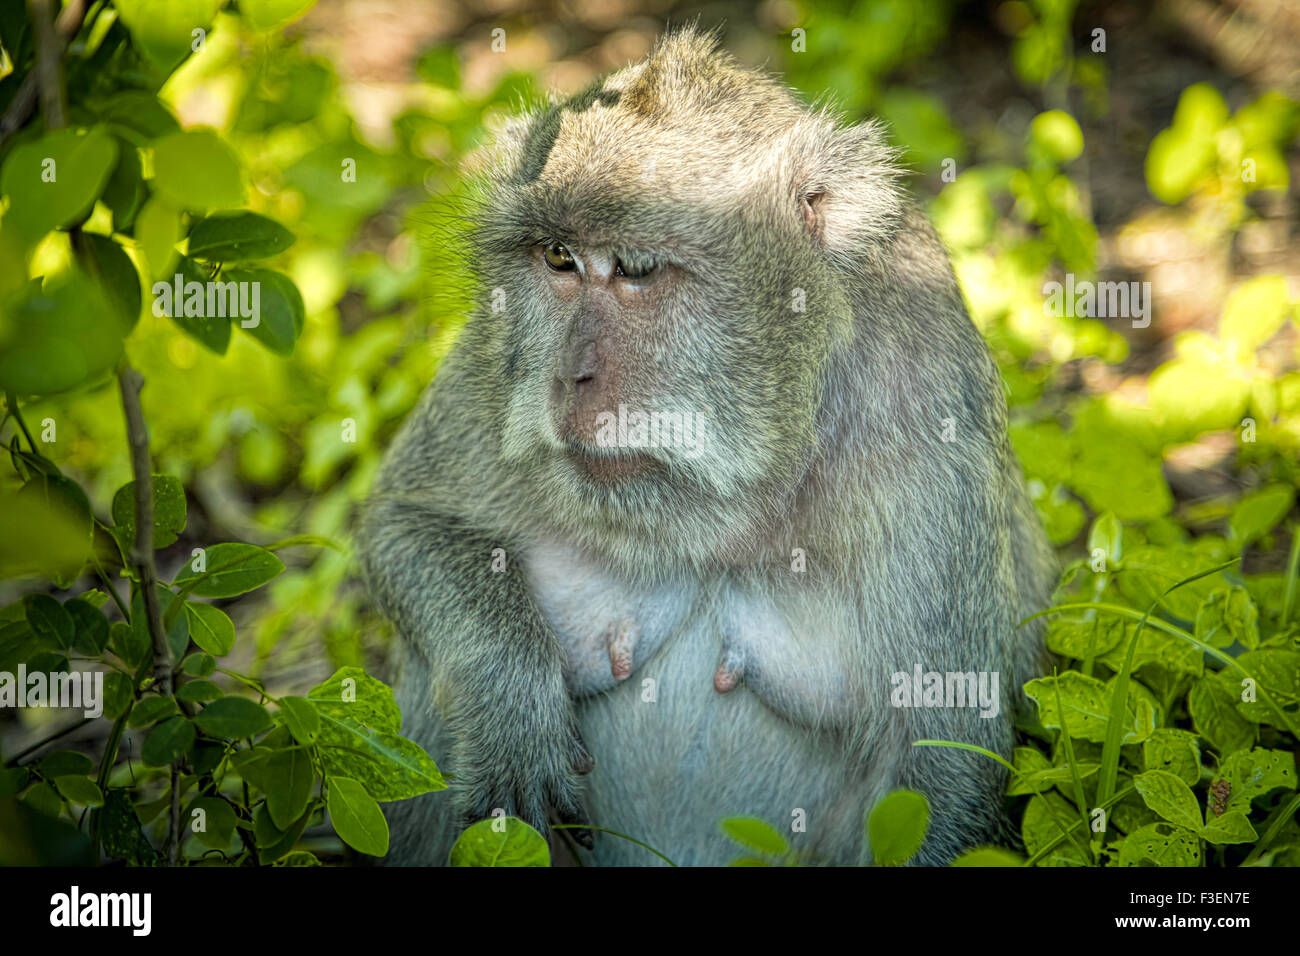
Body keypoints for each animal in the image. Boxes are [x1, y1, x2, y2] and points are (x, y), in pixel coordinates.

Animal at [355, 27, 1056, 866]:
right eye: (558, 259)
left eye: (637, 269)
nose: (568, 378)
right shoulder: (494, 362)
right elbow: (402, 522)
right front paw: (509, 700)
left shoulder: (929, 409)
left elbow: (944, 747)